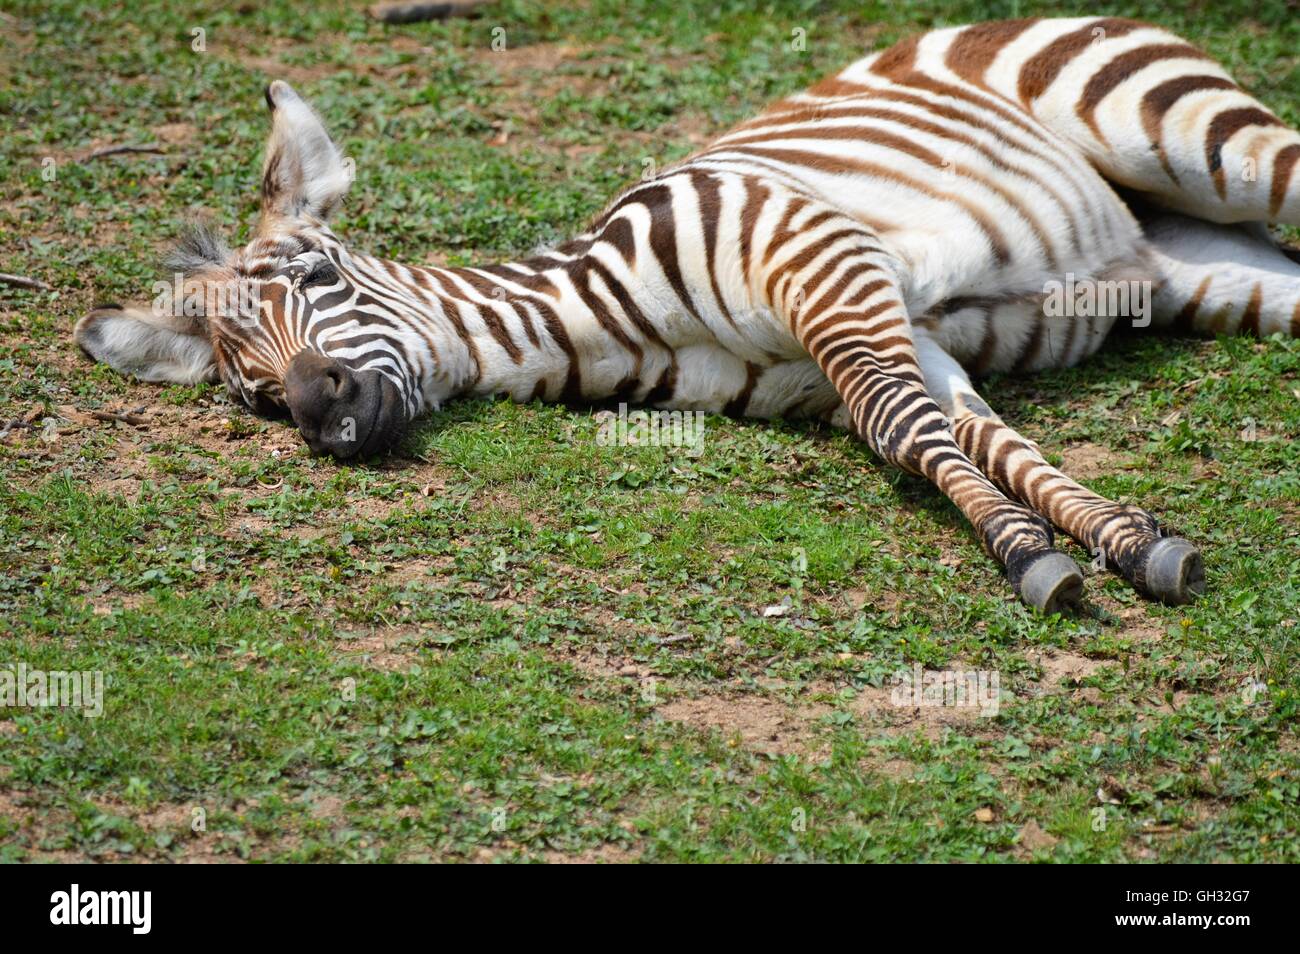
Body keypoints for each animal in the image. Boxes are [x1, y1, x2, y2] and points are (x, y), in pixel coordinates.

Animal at [75, 17, 1300, 614]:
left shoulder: (828, 264)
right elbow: (960, 442)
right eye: (252, 394)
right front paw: (1095, 544)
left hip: (1191, 138)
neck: (600, 317)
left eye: (318, 281)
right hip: (1209, 270)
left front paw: (1059, 555)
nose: (318, 410)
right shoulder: (896, 338)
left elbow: (906, 429)